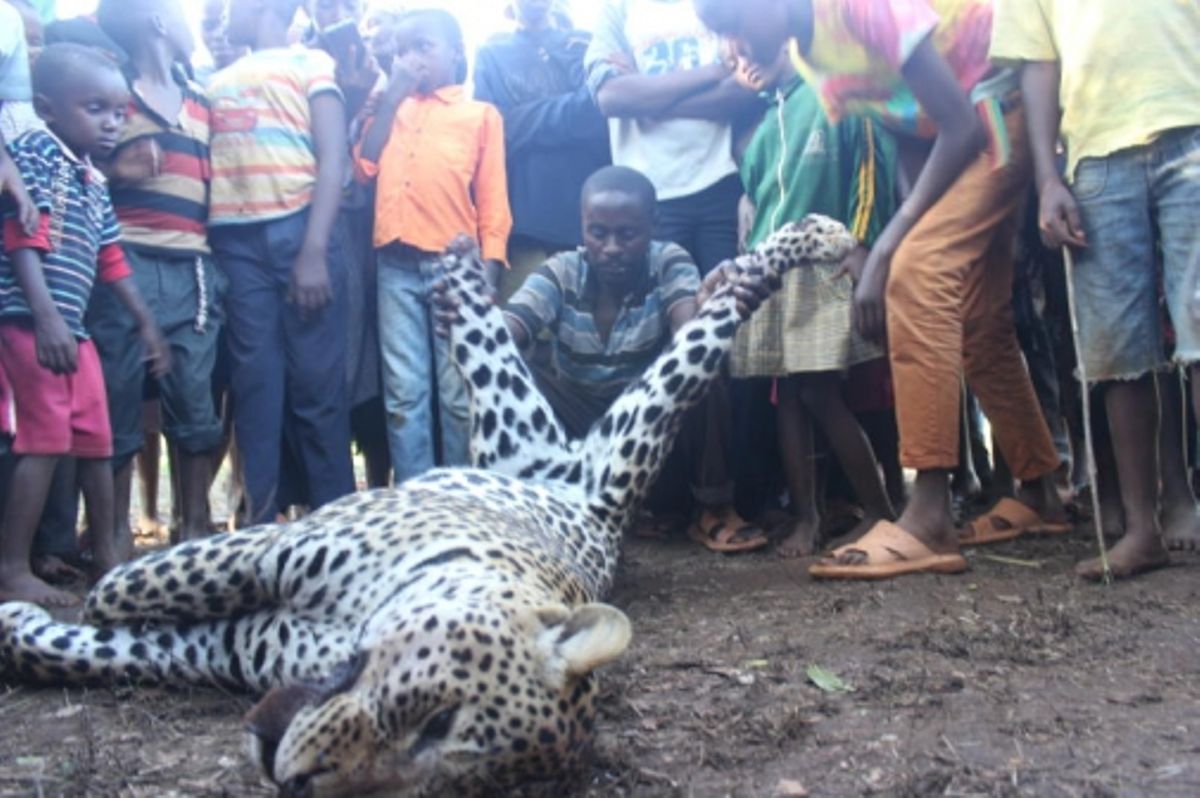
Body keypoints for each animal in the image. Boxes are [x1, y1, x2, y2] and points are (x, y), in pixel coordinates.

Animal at [0, 214, 857, 797]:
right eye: (438, 717)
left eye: (434, 775)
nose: (294, 779)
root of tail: (581, 497)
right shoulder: (265, 551)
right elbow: (129, 592)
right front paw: (71, 596)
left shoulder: (220, 649)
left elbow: (95, 645)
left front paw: (26, 625)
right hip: (602, 434)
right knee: (684, 334)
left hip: (531, 423)